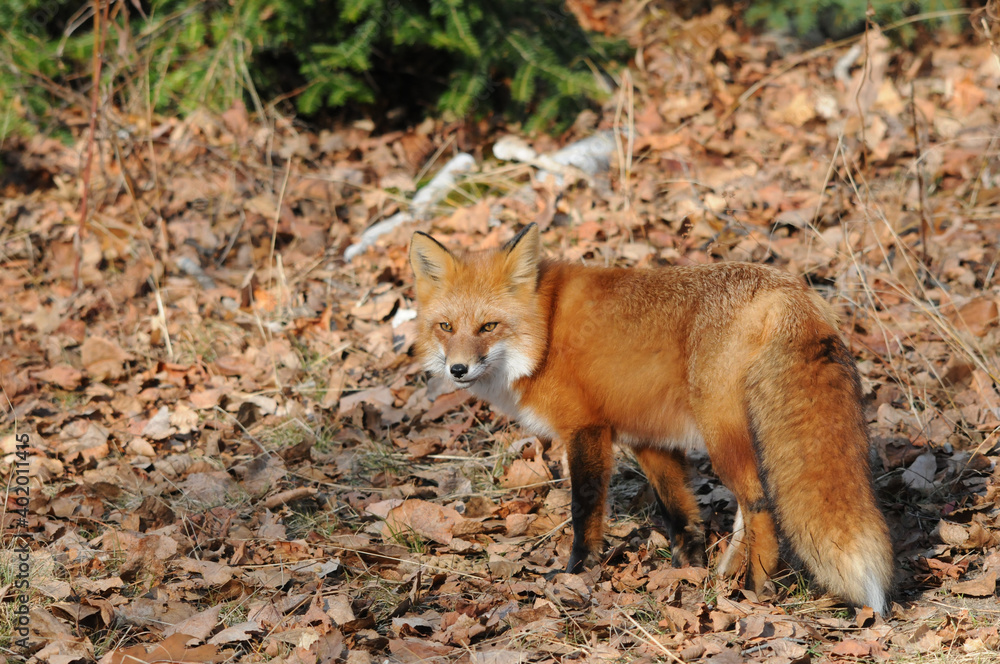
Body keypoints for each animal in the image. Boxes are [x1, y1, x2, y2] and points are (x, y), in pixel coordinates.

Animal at [409, 223, 893, 614]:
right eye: (446, 327)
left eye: (488, 327)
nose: (458, 370)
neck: (544, 331)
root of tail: (788, 290)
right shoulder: (648, 437)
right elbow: (679, 510)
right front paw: (688, 569)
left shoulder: (586, 428)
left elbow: (585, 508)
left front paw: (576, 571)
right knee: (745, 509)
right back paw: (724, 574)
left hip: (722, 436)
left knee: (760, 505)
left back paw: (757, 586)